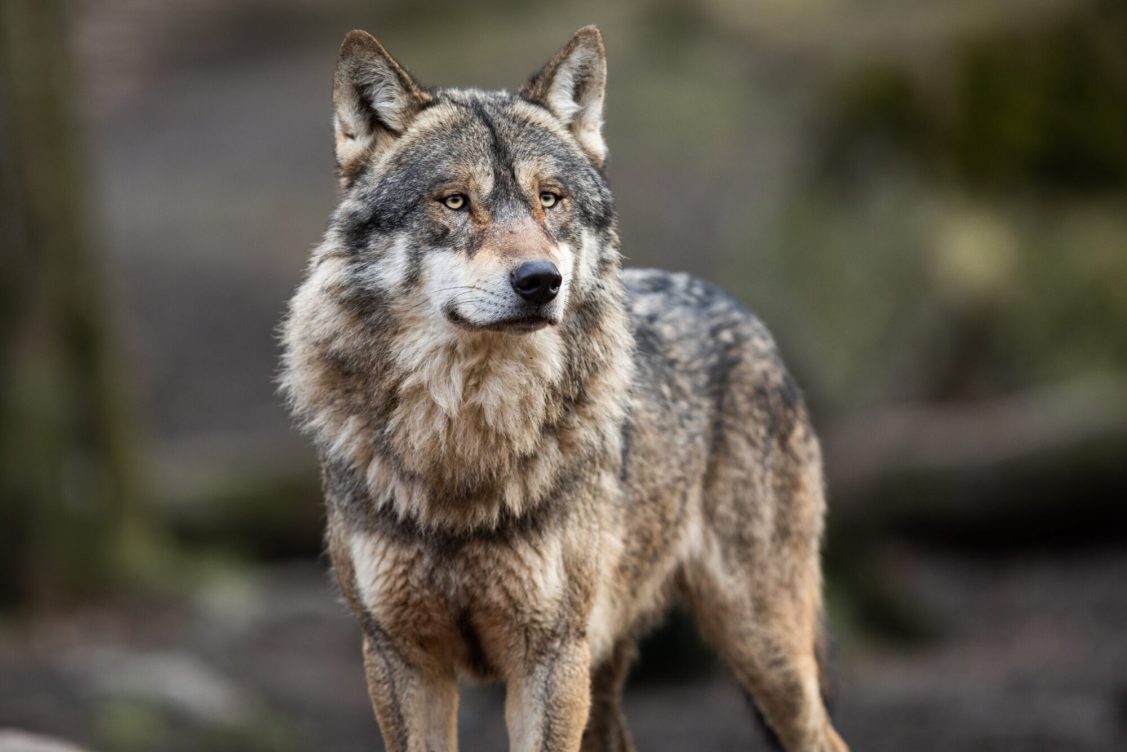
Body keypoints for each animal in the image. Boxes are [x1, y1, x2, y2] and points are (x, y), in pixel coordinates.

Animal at [280, 25, 847, 752]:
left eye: (549, 199)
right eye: (455, 200)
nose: (539, 280)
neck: (465, 446)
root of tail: (740, 311)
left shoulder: (548, 658)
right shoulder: (398, 657)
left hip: (758, 645)